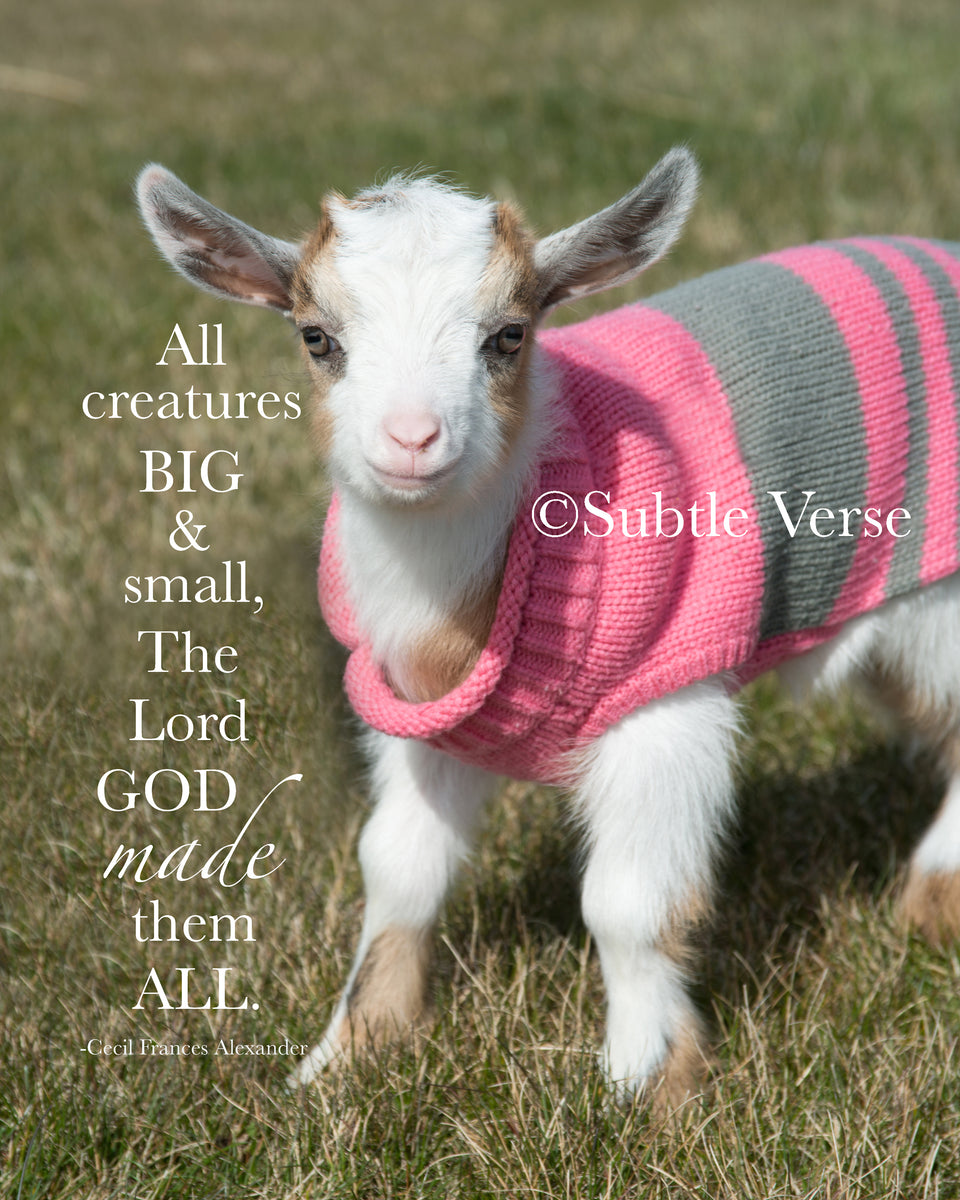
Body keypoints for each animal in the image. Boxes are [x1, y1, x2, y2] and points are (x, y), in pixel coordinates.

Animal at [137, 149, 960, 1104]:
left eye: (509, 335)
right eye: (316, 336)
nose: (411, 438)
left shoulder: (665, 699)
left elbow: (628, 903)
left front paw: (647, 1085)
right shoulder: (422, 713)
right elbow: (398, 867)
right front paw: (345, 1055)